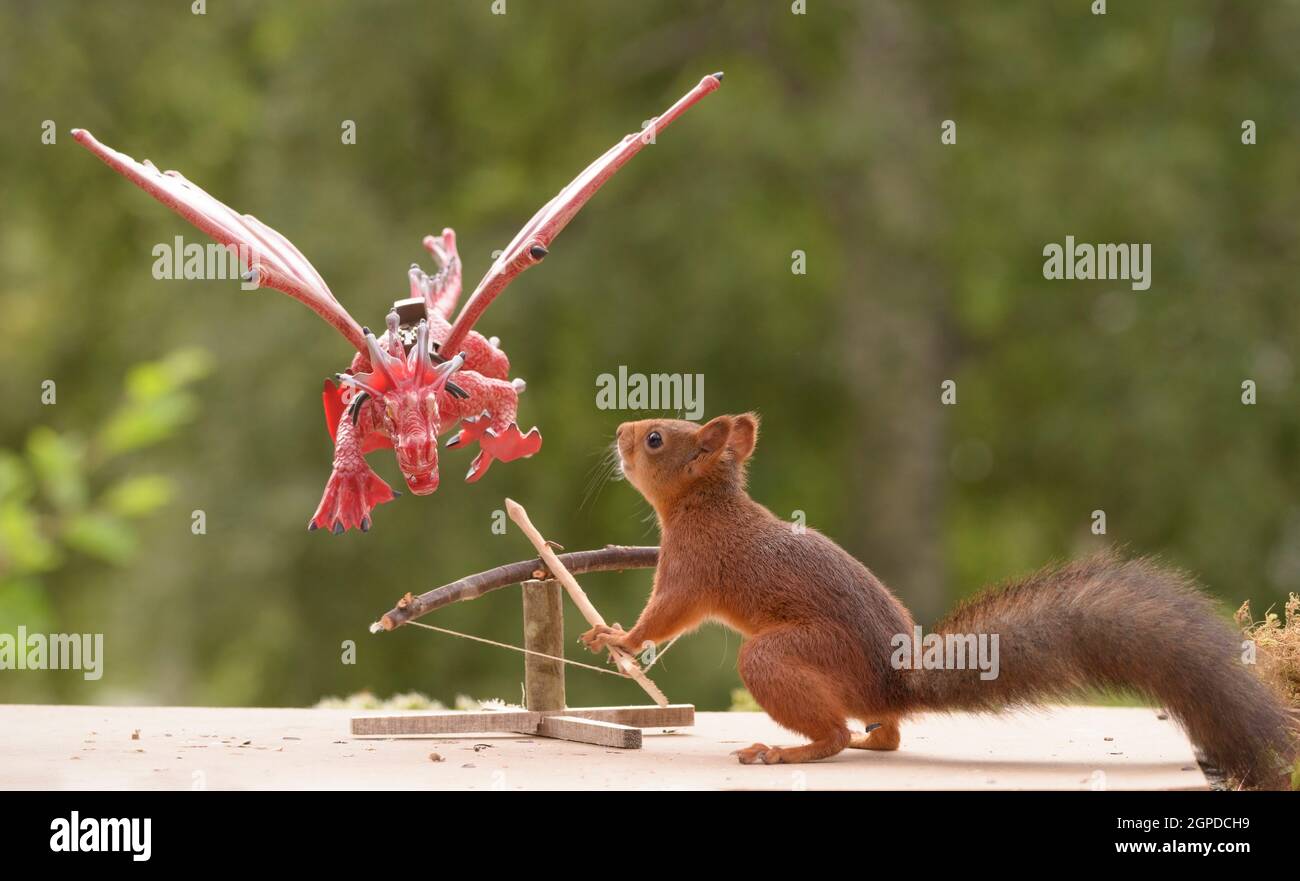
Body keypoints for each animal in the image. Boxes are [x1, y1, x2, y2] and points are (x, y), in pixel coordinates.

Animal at [580, 413, 1298, 788]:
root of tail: (897, 681)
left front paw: (617, 637)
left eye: (655, 440)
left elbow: (664, 617)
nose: (619, 429)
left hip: (779, 657)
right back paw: (871, 739)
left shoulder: (691, 569)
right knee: (887, 734)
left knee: (831, 733)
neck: (704, 505)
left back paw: (785, 752)